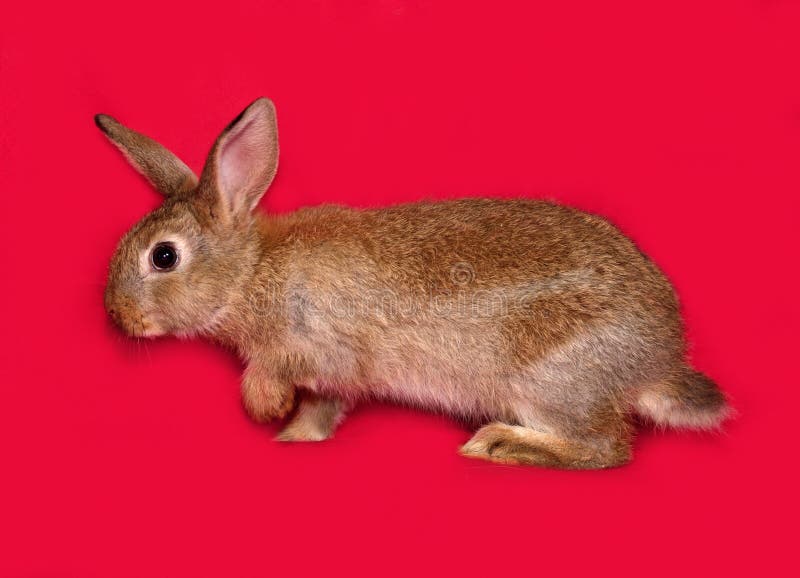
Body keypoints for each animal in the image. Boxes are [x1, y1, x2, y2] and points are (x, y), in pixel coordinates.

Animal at [97, 97, 730, 469]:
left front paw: (263, 405)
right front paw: (296, 440)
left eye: (163, 257)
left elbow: (279, 371)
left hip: (546, 379)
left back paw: (499, 443)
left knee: (607, 448)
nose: (116, 315)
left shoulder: (321, 343)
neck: (250, 273)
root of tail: (657, 363)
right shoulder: (332, 381)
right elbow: (323, 409)